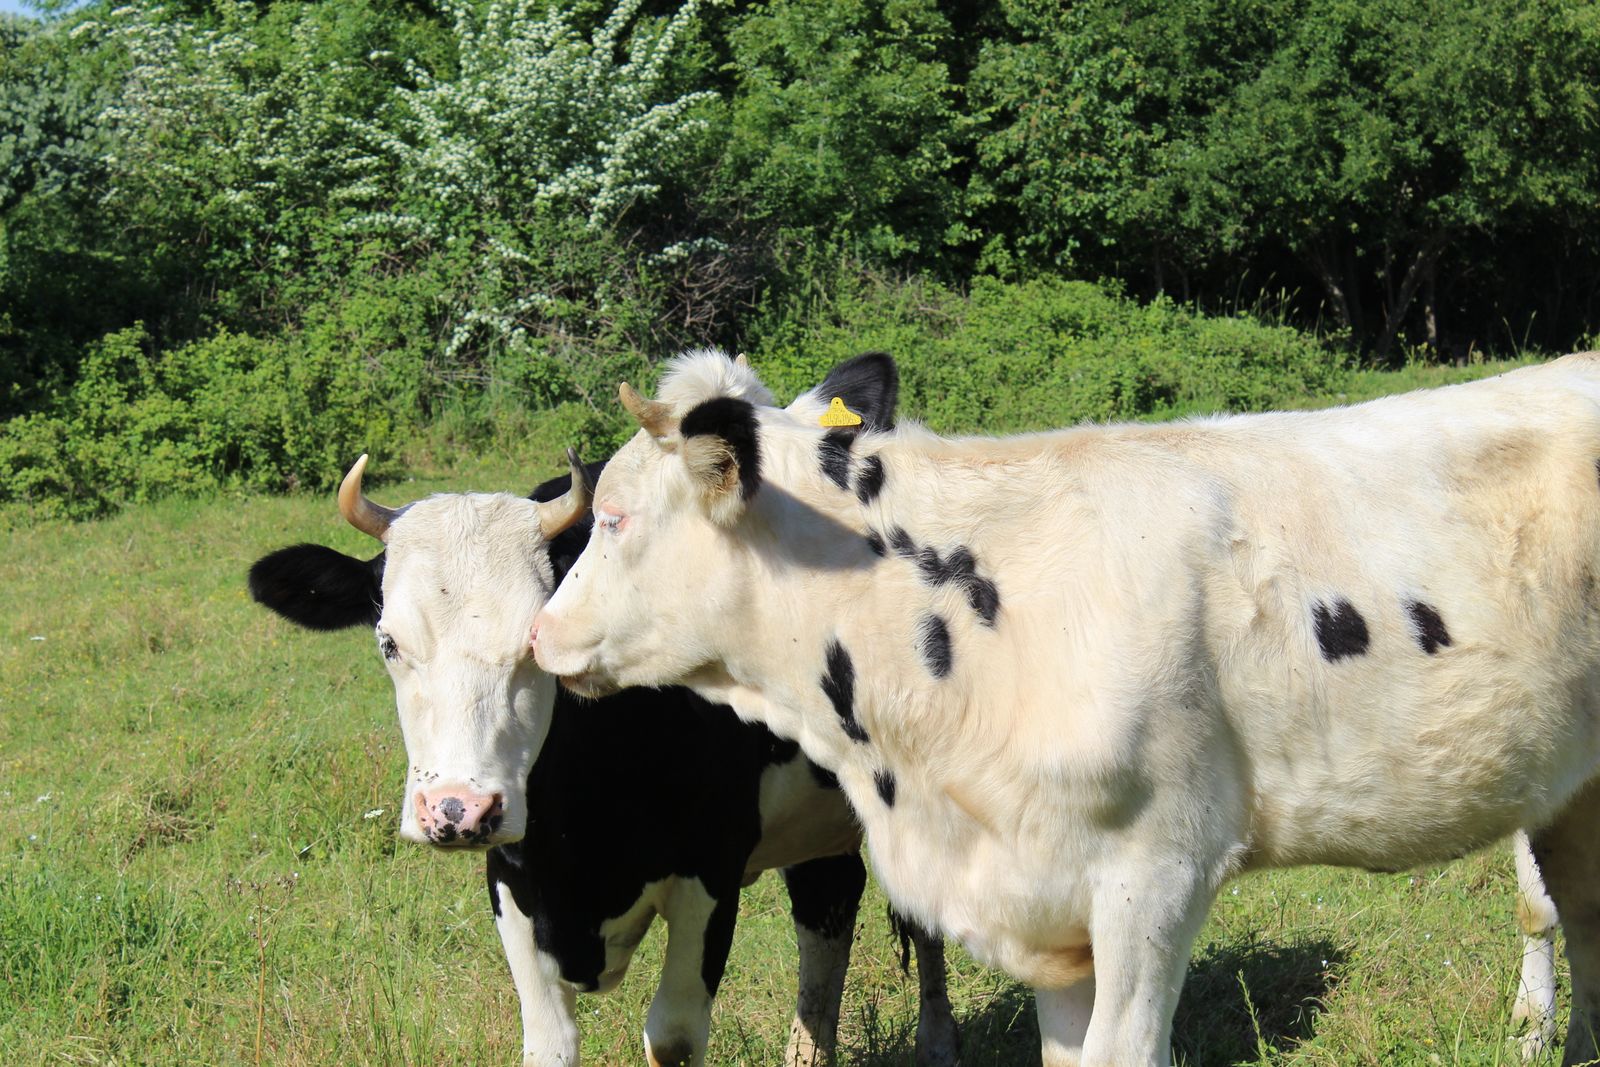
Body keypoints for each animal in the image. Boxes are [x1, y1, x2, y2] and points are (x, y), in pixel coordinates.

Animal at [247, 439, 960, 1065]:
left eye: (535, 637)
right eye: (388, 641)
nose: (457, 811)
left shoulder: (712, 865)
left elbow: (672, 1036)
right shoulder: (511, 876)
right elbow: (549, 1043)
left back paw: (937, 1042)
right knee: (827, 908)